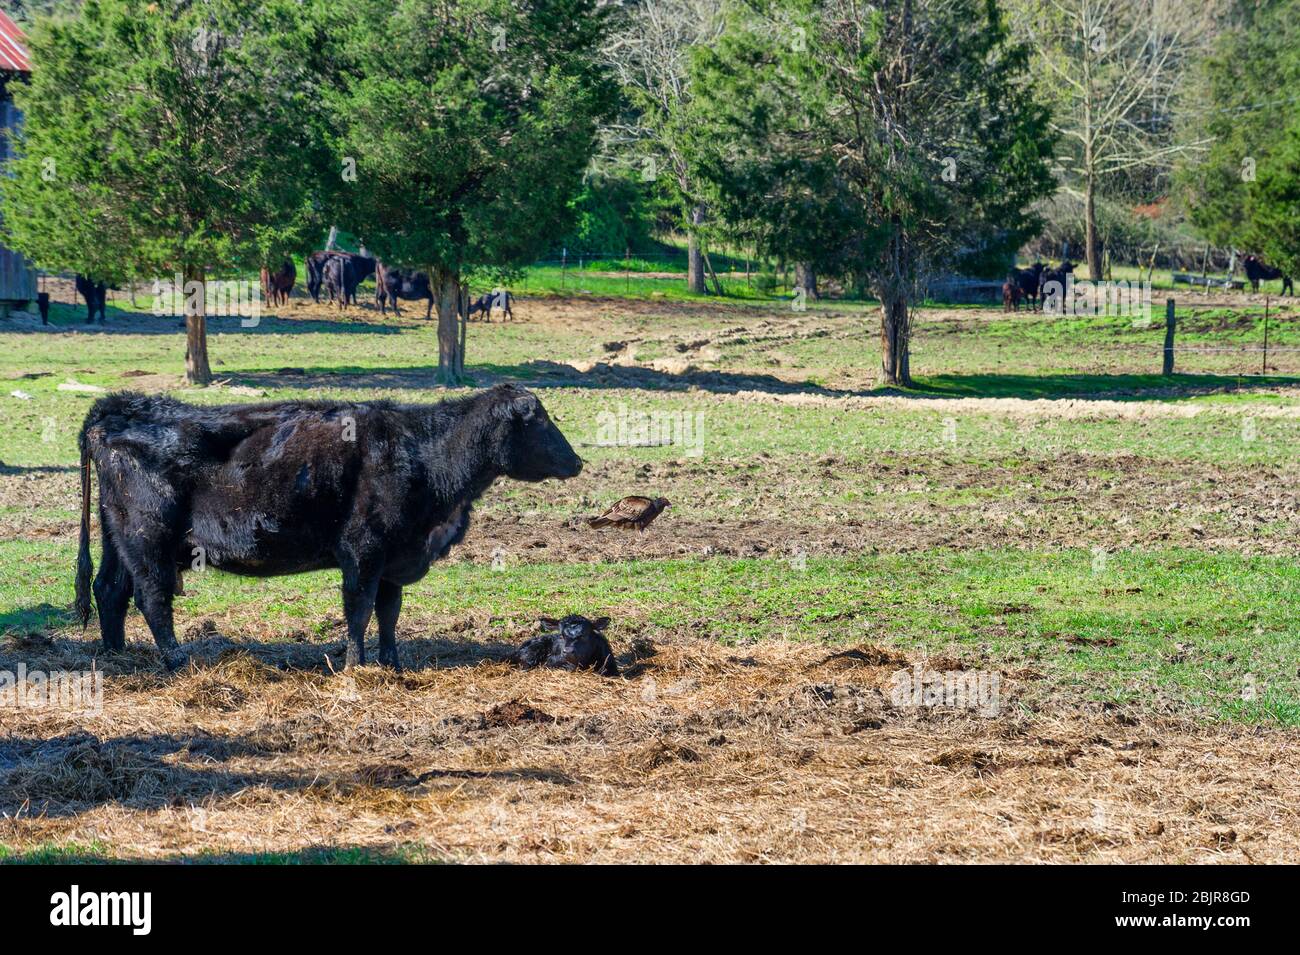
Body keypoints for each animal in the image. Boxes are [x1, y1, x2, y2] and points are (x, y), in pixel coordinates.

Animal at [75, 384, 583, 671]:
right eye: (541, 421)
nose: (578, 462)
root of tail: (117, 408)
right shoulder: (363, 549)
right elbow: (359, 610)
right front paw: (356, 666)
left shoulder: (394, 556)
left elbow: (389, 613)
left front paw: (392, 665)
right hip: (148, 540)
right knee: (152, 600)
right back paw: (177, 662)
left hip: (118, 537)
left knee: (110, 590)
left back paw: (118, 655)